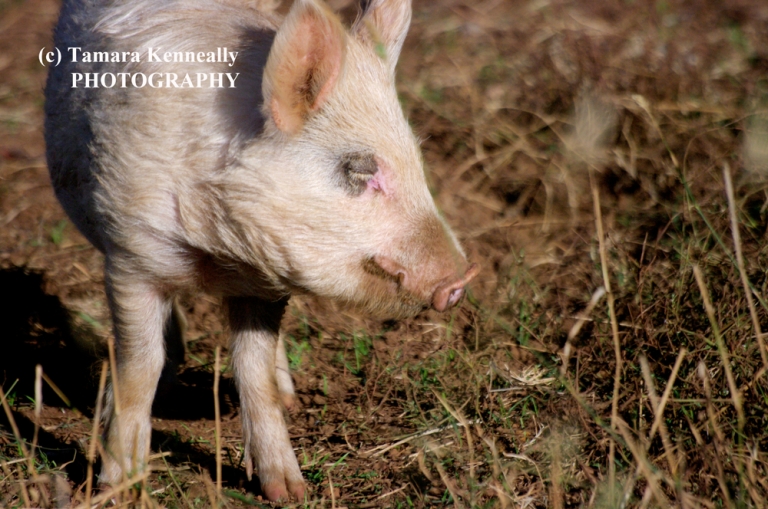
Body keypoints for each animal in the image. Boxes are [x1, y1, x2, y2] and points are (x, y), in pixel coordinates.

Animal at [44, 0, 478, 501]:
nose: (463, 277)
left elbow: (255, 375)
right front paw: (117, 489)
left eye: (417, 161)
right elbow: (139, 367)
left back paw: (289, 395)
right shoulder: (131, 253)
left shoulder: (263, 285)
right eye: (359, 168)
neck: (218, 253)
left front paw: (289, 492)